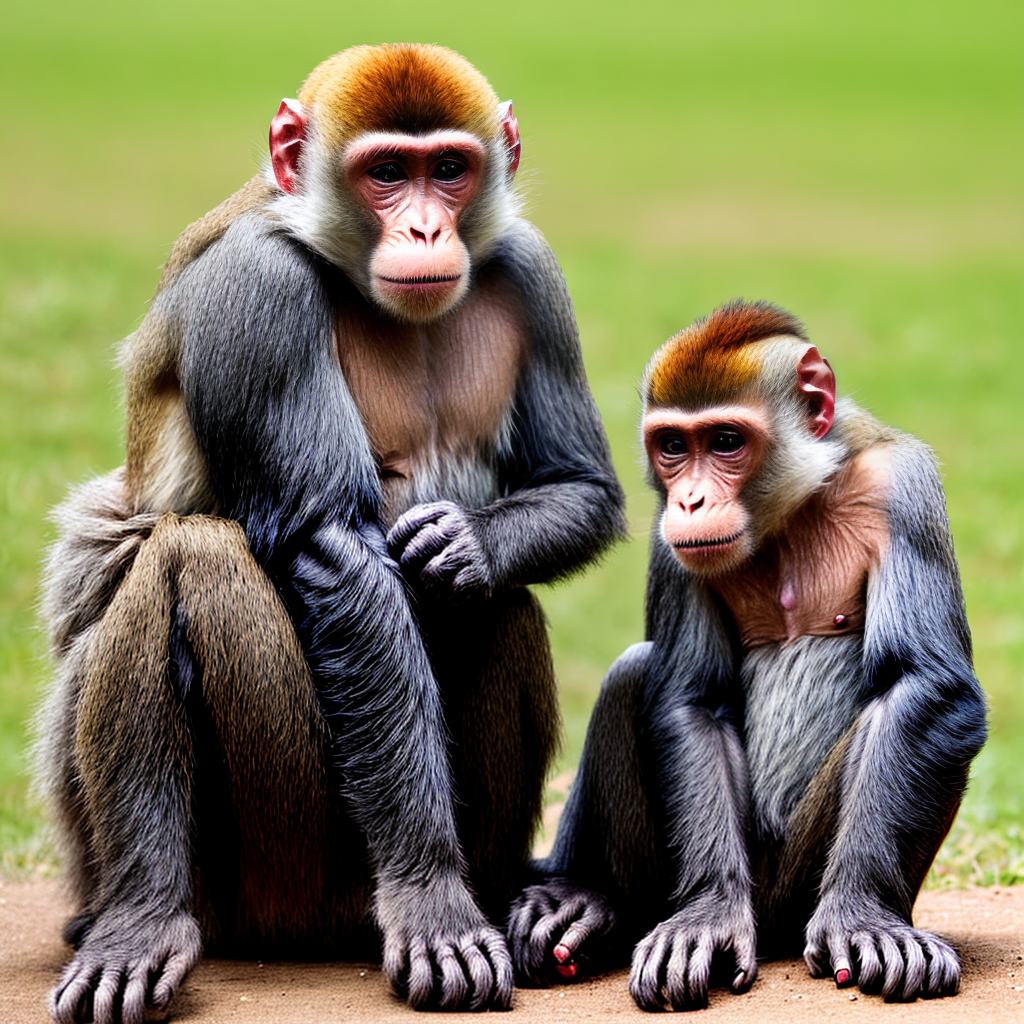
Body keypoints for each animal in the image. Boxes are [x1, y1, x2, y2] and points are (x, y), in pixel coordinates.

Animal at [33, 44, 625, 1022]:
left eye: (448, 168)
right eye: (386, 173)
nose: (425, 230)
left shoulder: (533, 272)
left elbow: (578, 485)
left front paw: (468, 543)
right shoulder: (257, 297)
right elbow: (329, 547)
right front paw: (429, 894)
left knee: (492, 601)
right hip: (277, 866)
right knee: (189, 553)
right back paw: (144, 917)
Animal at [508, 300, 986, 1010]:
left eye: (727, 441)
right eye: (673, 447)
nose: (691, 501)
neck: (793, 509)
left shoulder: (902, 487)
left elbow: (926, 684)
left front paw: (865, 912)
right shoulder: (668, 536)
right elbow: (692, 699)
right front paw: (708, 911)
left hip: (790, 890)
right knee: (634, 672)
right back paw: (600, 905)